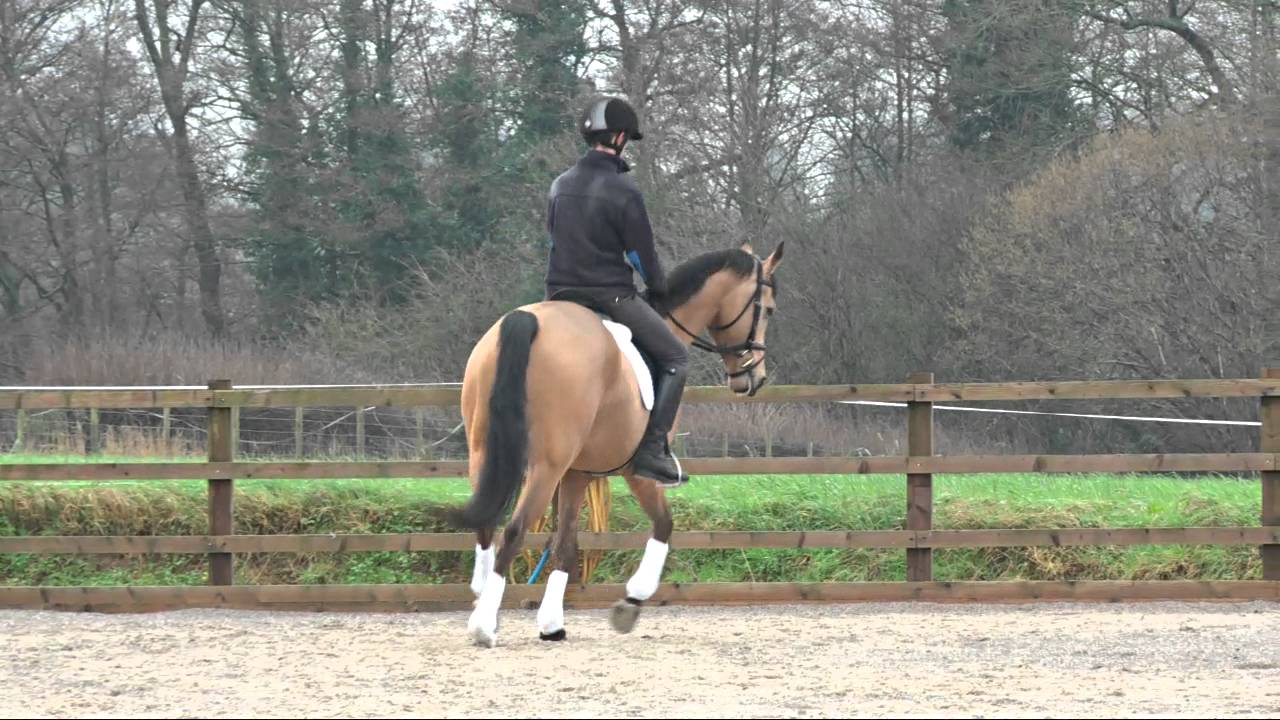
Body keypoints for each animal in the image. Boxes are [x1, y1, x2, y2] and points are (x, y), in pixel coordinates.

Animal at [450, 241, 784, 647]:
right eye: (769, 308)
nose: (753, 378)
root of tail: (526, 321)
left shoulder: (577, 473)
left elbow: (565, 545)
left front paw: (551, 624)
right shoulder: (636, 471)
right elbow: (664, 524)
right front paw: (632, 600)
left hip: (484, 453)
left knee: (486, 525)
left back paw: (482, 606)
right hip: (546, 466)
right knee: (513, 531)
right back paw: (484, 626)